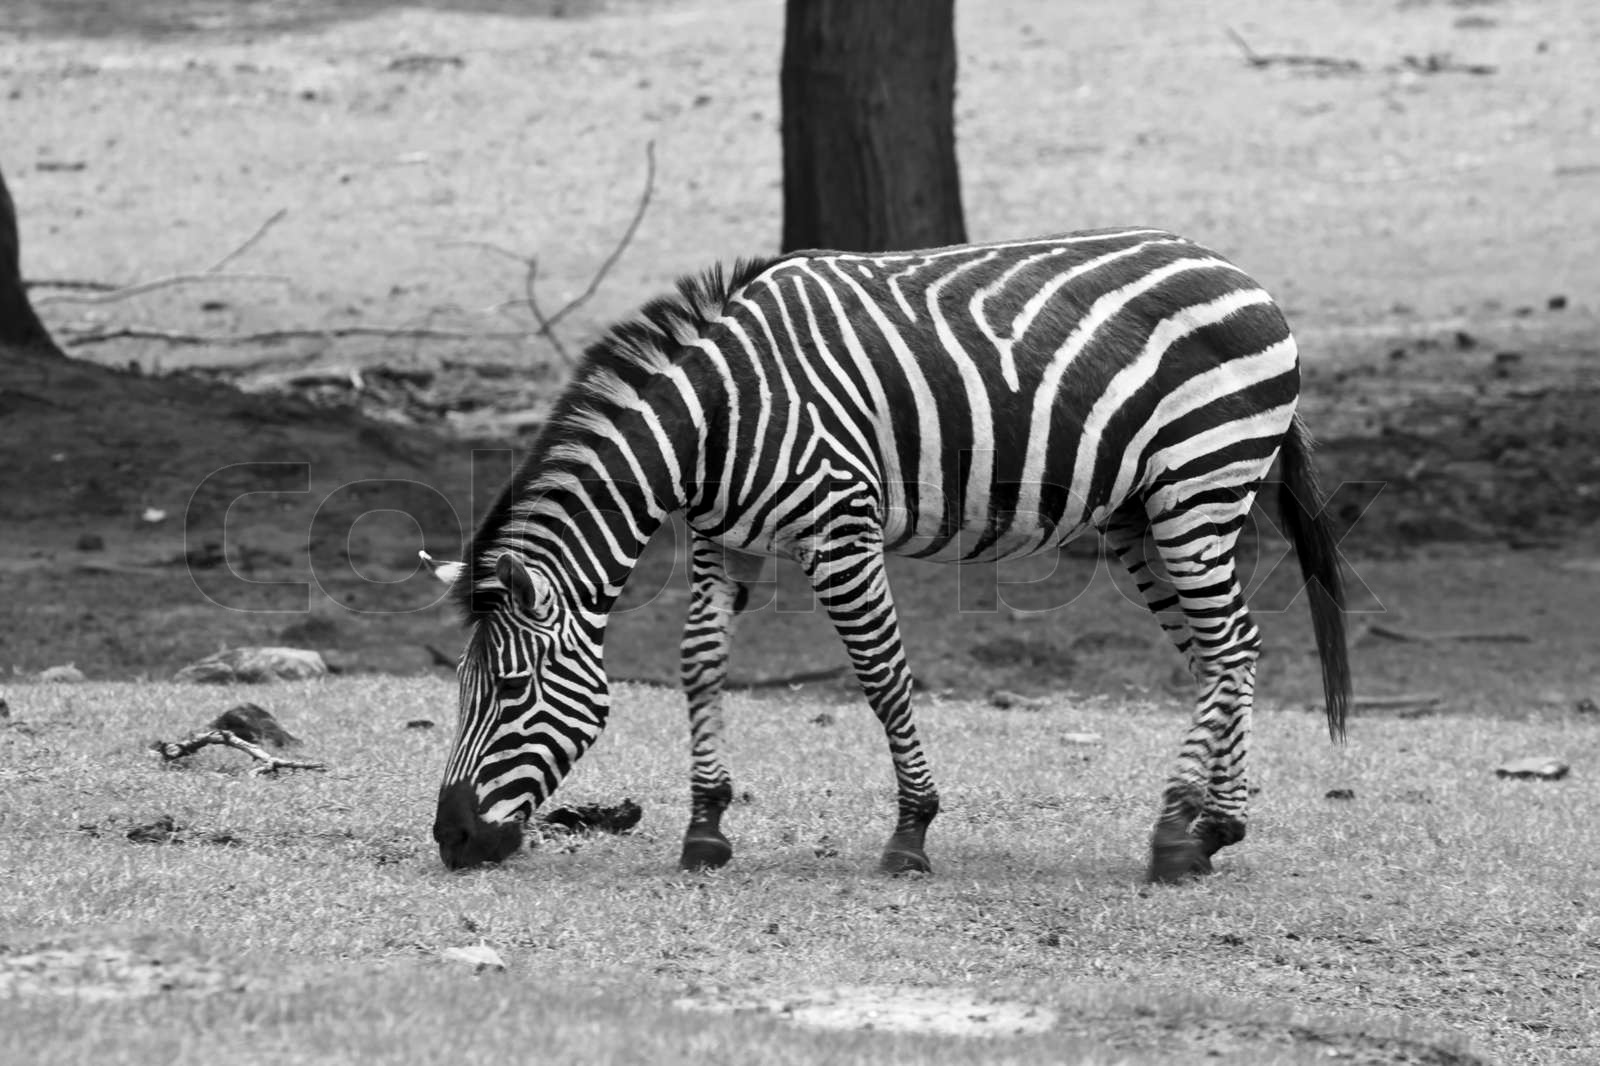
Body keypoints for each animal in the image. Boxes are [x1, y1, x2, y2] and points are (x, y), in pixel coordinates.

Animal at [422, 227, 1351, 883]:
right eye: (459, 686)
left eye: (509, 689)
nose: (451, 836)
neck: (719, 413)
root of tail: (1240, 274)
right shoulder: (724, 538)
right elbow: (700, 664)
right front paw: (706, 826)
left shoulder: (840, 528)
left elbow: (882, 675)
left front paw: (911, 831)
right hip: (1140, 516)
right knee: (1225, 652)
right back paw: (1214, 827)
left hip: (1200, 487)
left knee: (1230, 644)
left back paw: (1173, 834)